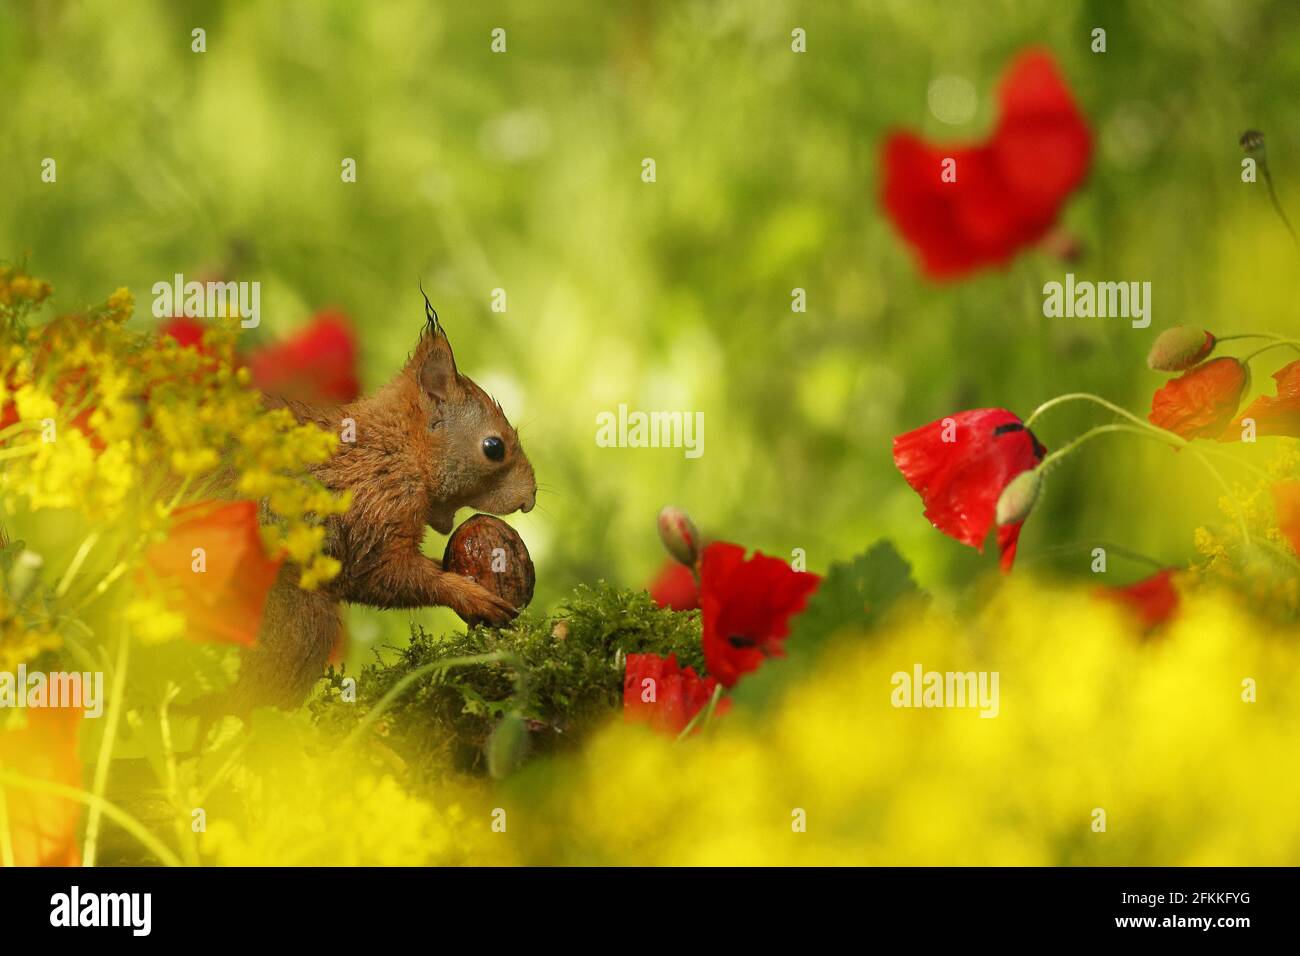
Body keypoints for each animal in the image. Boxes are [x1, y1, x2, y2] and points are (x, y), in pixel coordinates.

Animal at [229, 296, 537, 710]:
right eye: (494, 447)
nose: (530, 498)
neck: (396, 448)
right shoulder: (373, 510)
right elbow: (384, 574)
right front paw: (471, 596)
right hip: (297, 619)